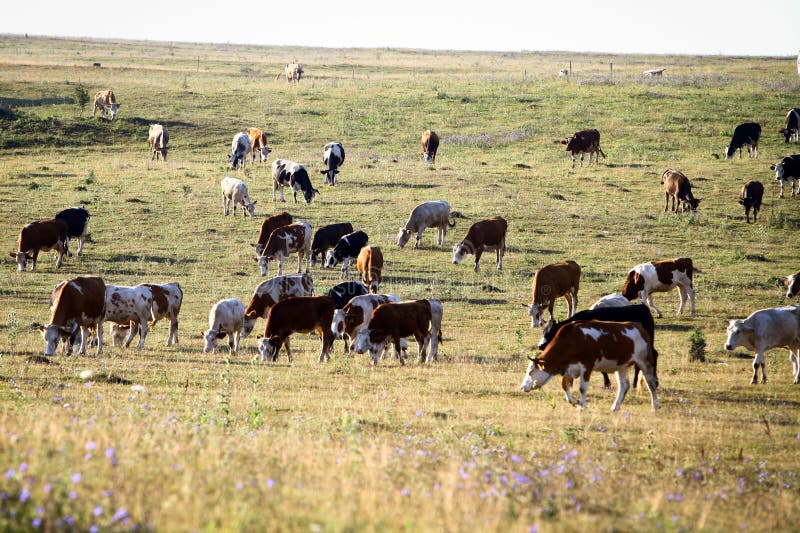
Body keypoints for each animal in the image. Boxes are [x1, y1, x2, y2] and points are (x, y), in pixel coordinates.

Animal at [520, 321, 659, 412]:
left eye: (530, 372)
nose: (522, 387)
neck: (574, 339)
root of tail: (638, 327)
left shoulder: (587, 366)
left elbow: (582, 388)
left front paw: (582, 405)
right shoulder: (570, 368)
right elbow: (564, 385)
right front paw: (574, 402)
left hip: (645, 361)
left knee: (651, 383)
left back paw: (655, 405)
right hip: (621, 366)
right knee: (624, 385)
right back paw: (615, 406)